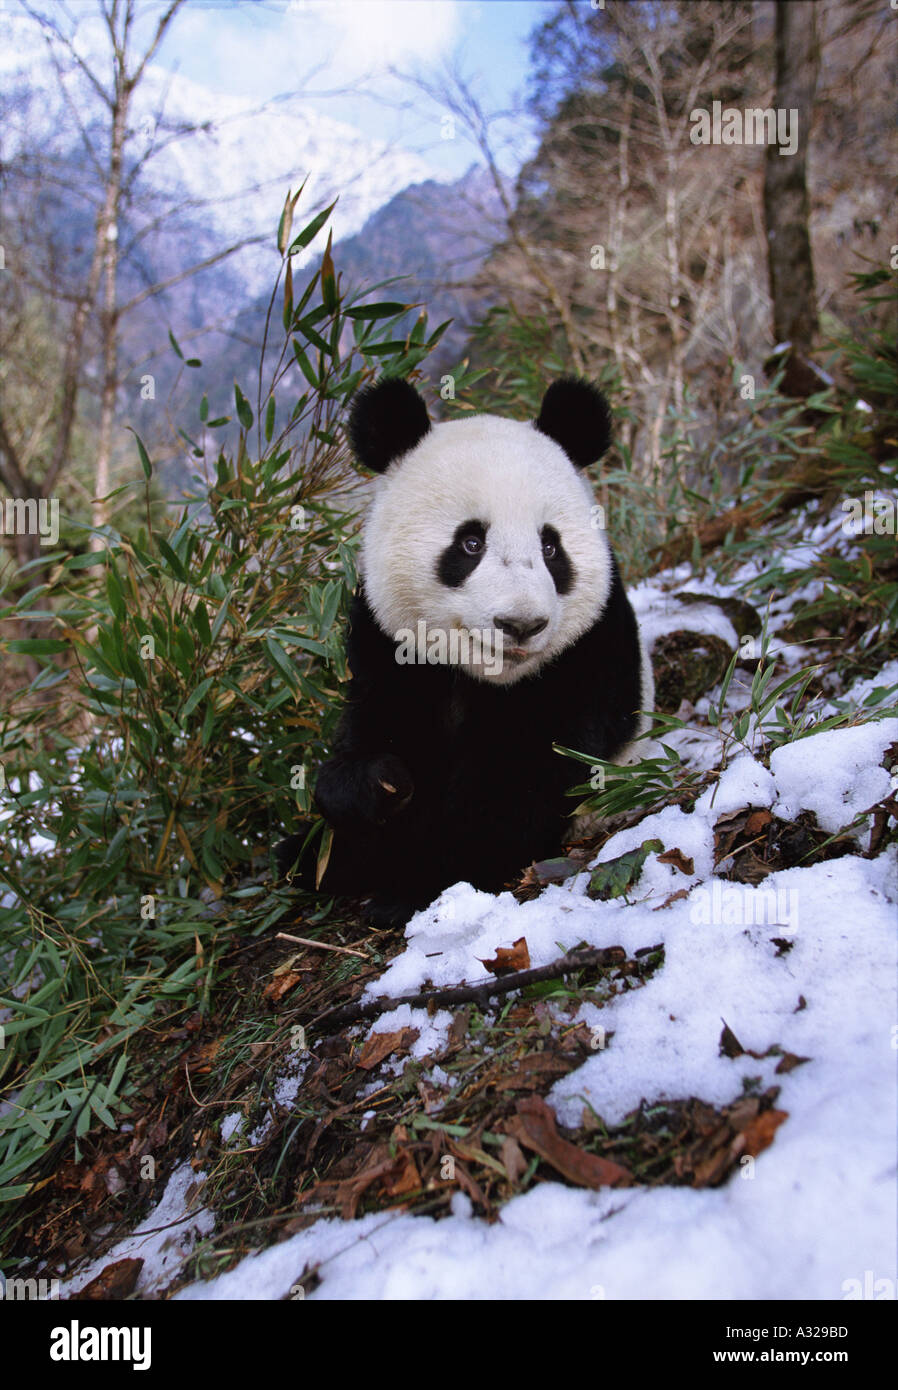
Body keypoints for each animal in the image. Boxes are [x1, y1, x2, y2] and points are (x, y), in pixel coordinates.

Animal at [275, 376, 654, 926]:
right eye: (471, 543)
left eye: (551, 548)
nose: (521, 624)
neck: (488, 676)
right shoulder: (384, 639)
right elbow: (372, 731)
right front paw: (378, 786)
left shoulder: (588, 652)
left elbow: (527, 782)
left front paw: (420, 884)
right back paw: (309, 859)